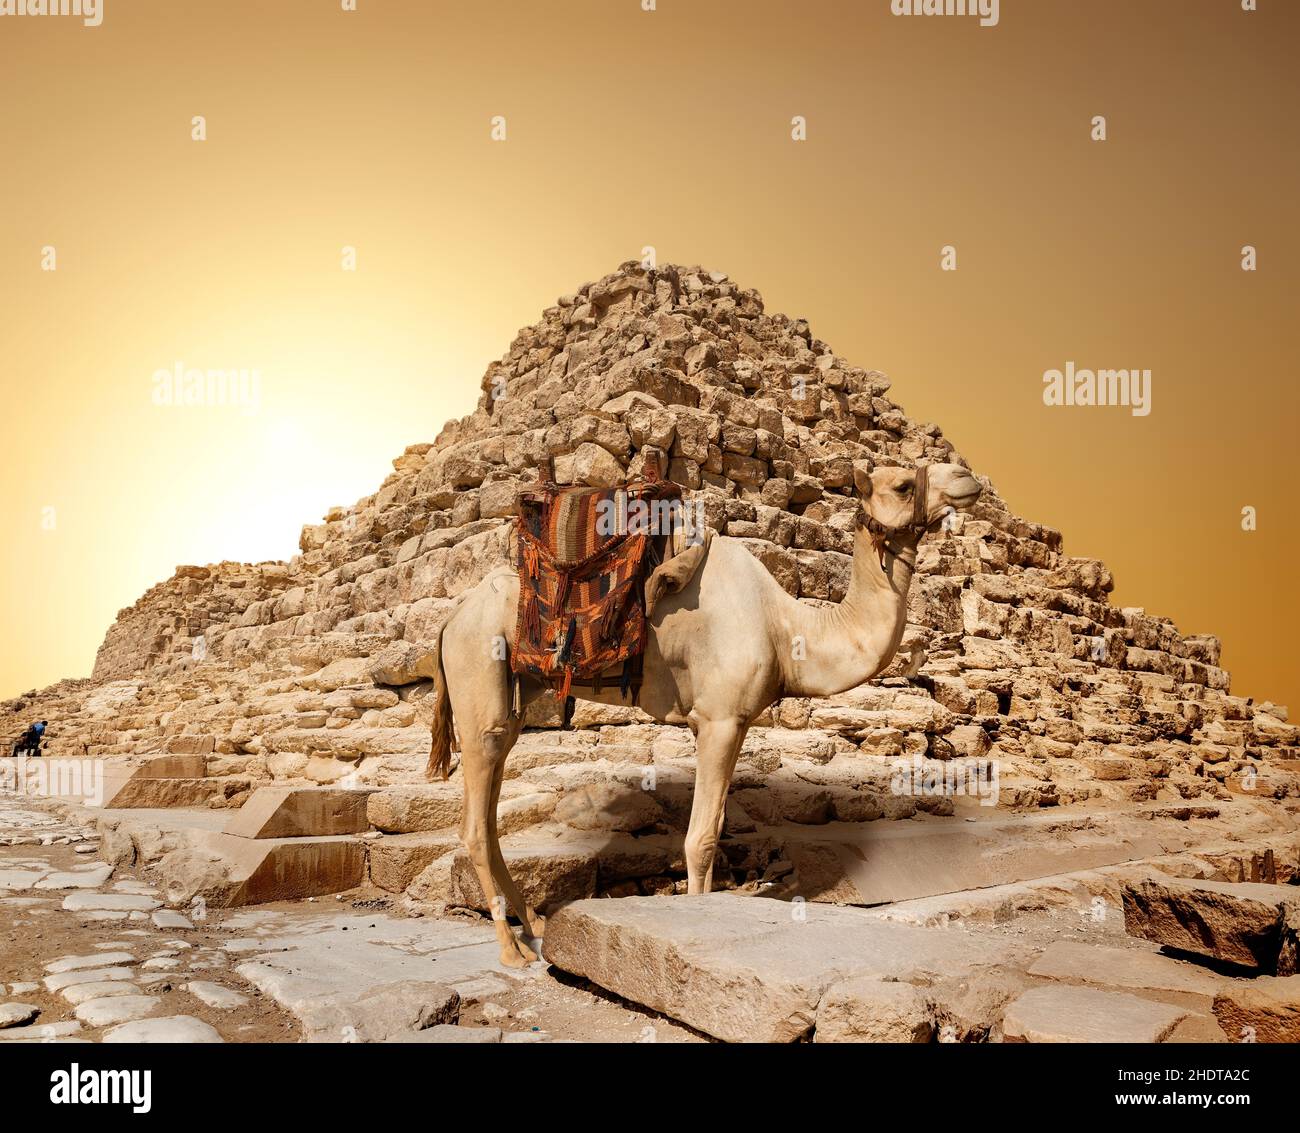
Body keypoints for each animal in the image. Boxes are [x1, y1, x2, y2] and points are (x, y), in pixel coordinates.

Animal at [424, 459, 982, 966]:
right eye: (903, 484)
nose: (967, 477)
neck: (787, 629)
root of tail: (450, 617)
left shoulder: (735, 723)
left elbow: (711, 831)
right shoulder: (718, 719)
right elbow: (702, 840)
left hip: (511, 696)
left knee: (491, 808)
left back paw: (534, 924)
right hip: (479, 669)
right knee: (474, 824)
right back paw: (511, 951)